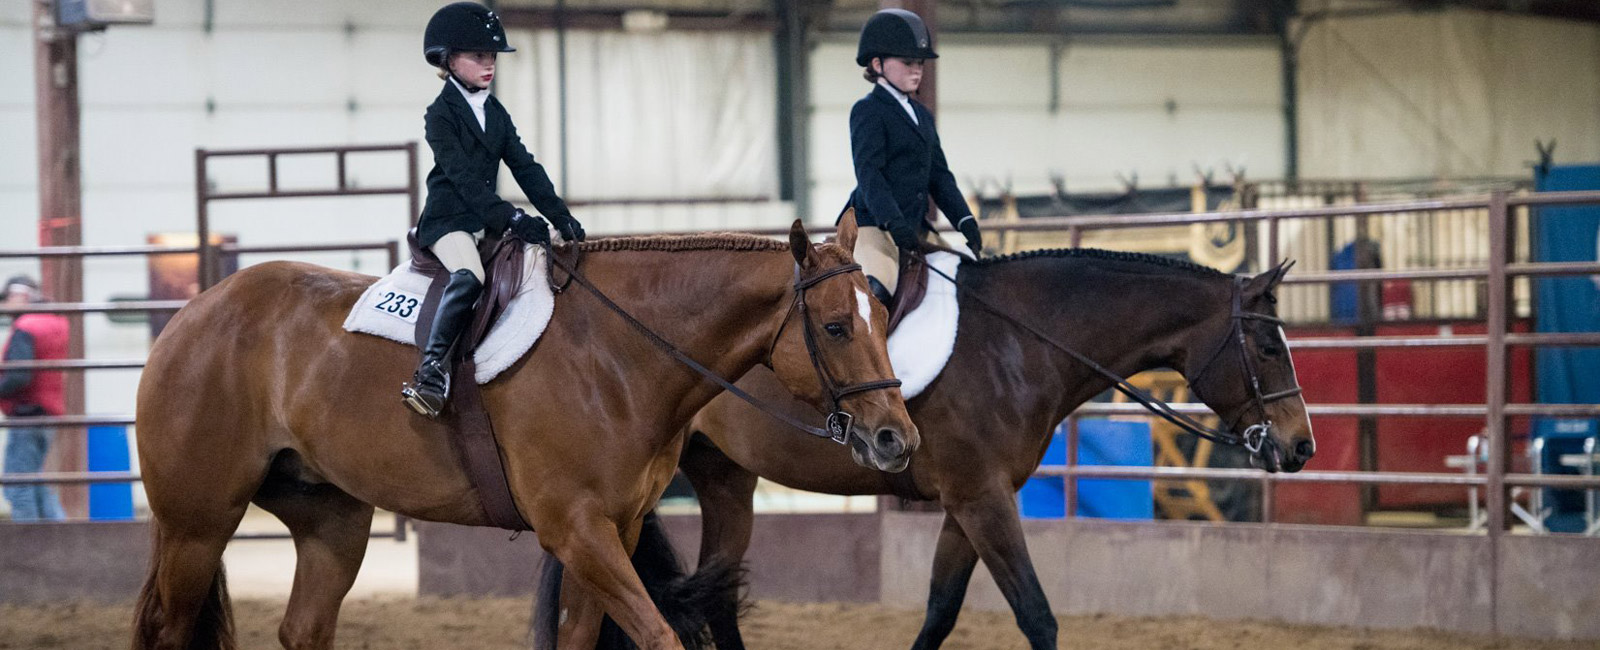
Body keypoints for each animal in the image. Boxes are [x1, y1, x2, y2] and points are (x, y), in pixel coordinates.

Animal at [129, 218, 918, 650]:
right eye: (836, 327)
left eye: (883, 318)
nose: (895, 439)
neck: (619, 352)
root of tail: (196, 314)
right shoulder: (577, 530)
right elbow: (658, 633)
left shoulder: (616, 529)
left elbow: (579, 637)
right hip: (199, 524)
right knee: (170, 630)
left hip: (331, 522)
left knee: (304, 629)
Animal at [538, 249, 1315, 650]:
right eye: (1268, 345)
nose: (1301, 446)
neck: (1019, 343)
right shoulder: (982, 498)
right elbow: (1037, 614)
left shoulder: (969, 503)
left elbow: (941, 610)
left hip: (725, 481)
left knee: (716, 597)